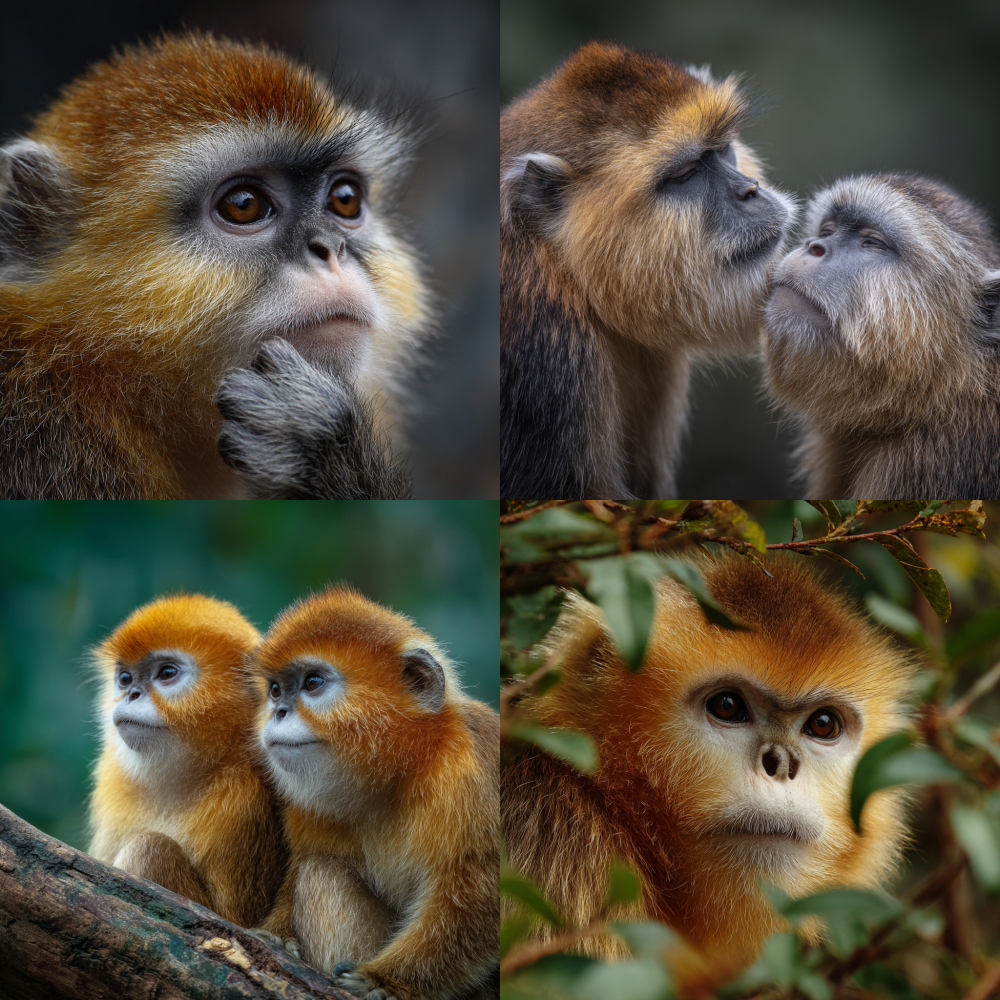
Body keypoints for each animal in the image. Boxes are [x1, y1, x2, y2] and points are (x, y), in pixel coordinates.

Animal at [89, 593, 285, 927]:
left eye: (167, 673)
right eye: (125, 678)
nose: (131, 694)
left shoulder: (241, 795)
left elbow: (231, 921)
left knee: (149, 848)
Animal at [247, 586, 499, 1000]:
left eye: (313, 683)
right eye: (275, 689)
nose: (278, 711)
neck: (395, 774)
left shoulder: (467, 774)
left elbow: (478, 892)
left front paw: (388, 981)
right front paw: (278, 938)